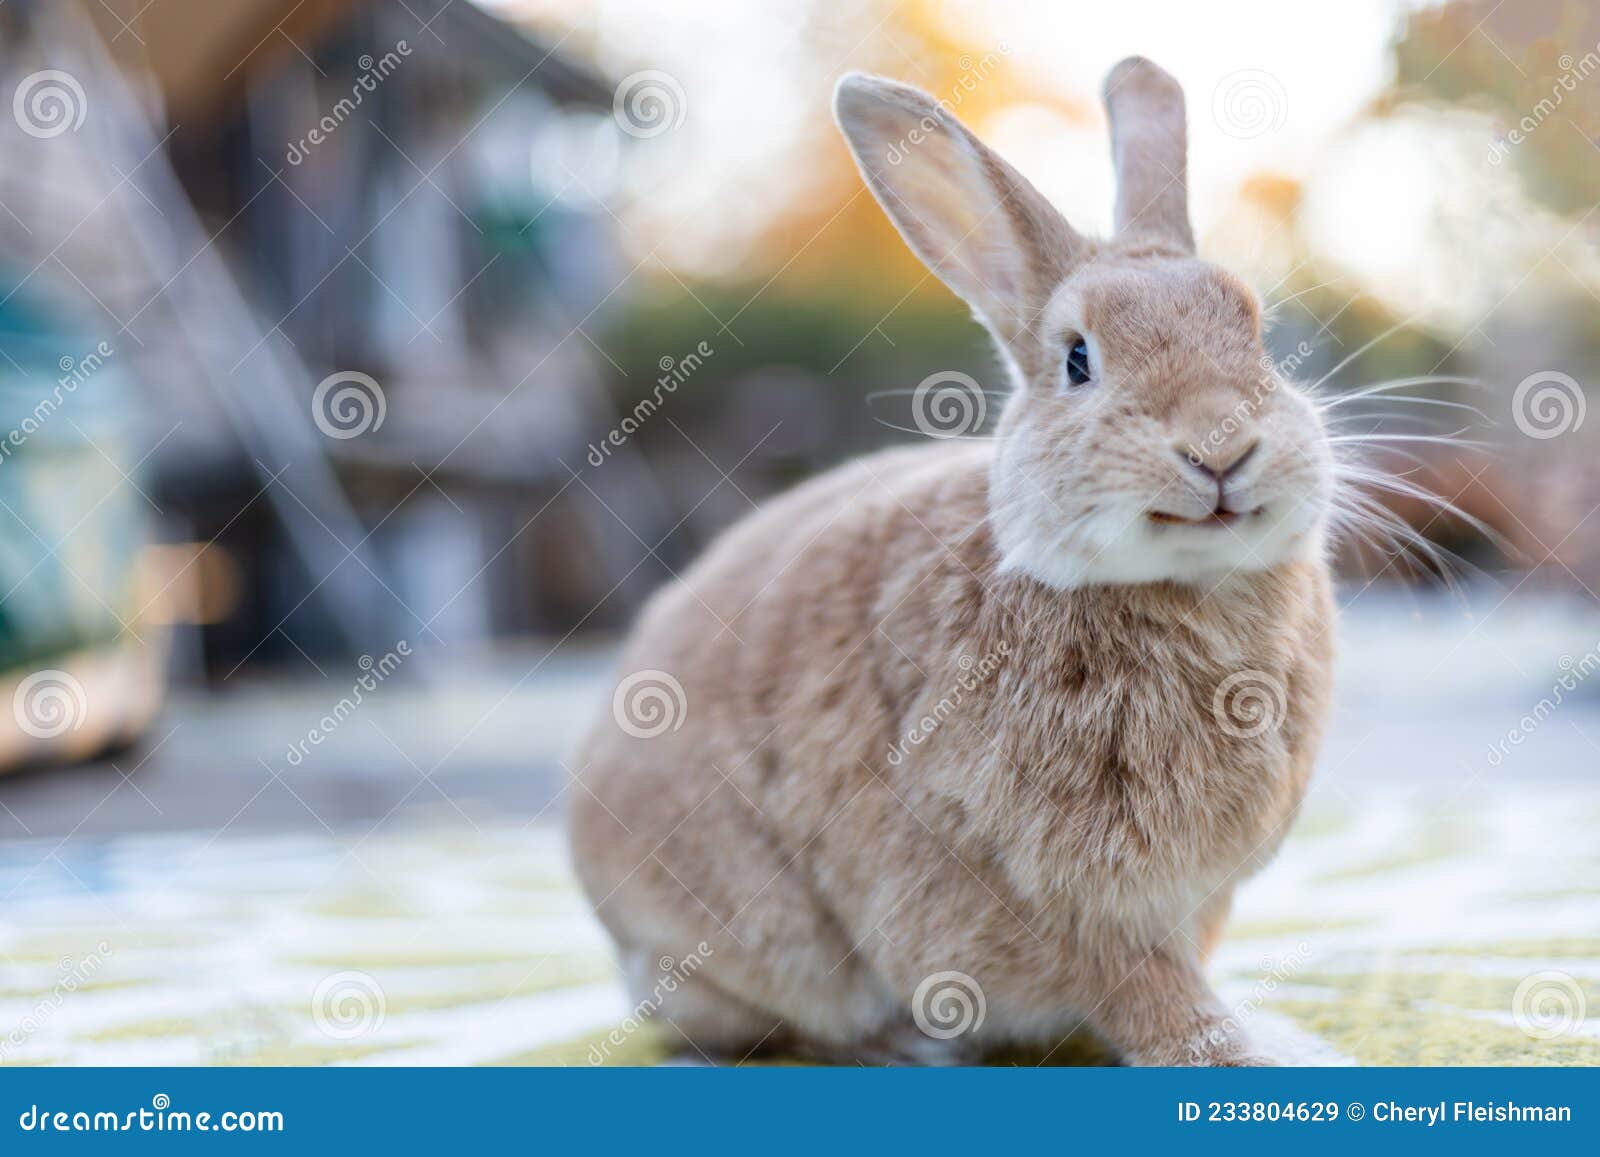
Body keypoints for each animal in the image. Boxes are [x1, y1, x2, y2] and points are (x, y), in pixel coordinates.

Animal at [568, 57, 1336, 1066]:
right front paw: (1238, 1051)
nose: (1221, 446)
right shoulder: (1043, 888)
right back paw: (897, 1042)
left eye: (1259, 333)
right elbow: (1145, 990)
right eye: (1078, 359)